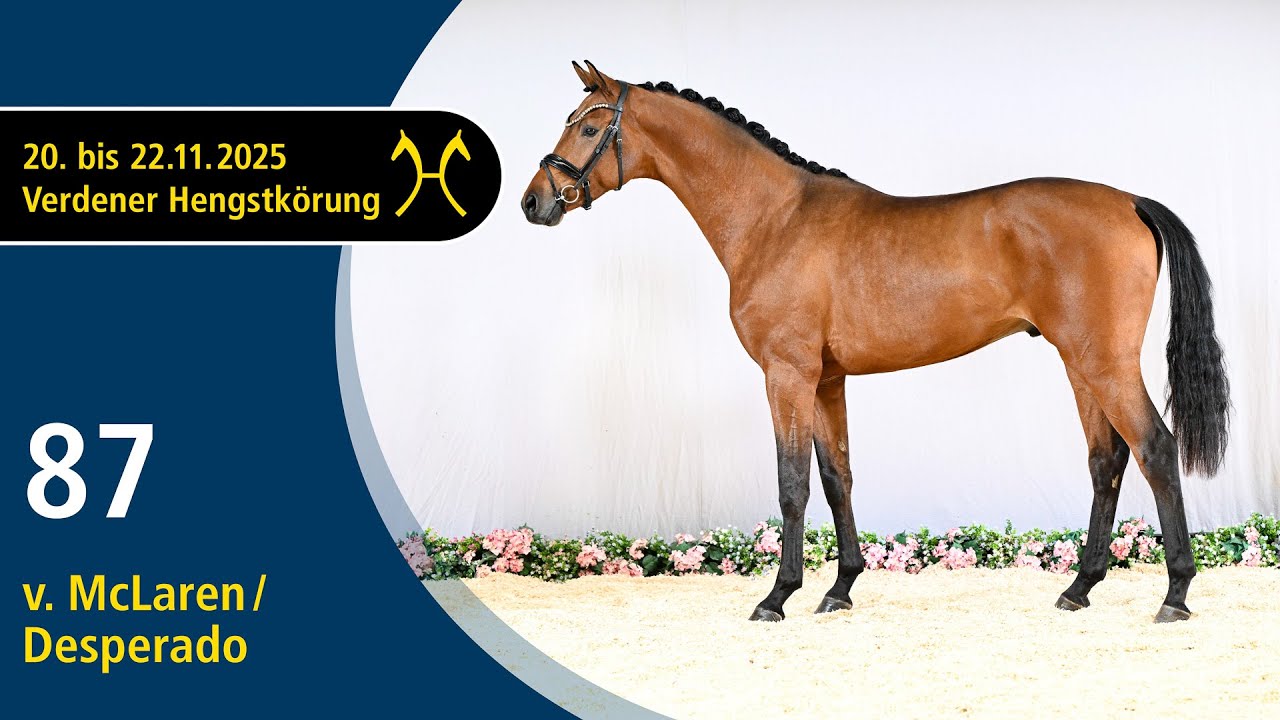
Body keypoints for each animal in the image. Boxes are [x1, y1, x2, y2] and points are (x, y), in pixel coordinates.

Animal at [522, 60, 1230, 624]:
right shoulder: (826, 380)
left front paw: (776, 597)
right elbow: (838, 478)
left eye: (588, 127)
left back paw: (1175, 595)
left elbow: (792, 484)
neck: (775, 219)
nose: (534, 202)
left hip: (1104, 363)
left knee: (1155, 449)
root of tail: (1130, 201)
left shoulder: (786, 375)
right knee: (1107, 459)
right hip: (1080, 364)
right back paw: (1079, 588)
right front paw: (839, 589)